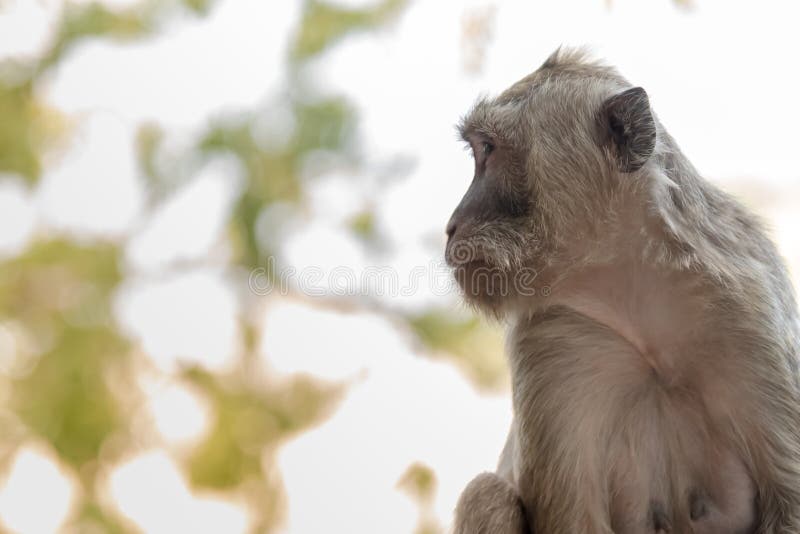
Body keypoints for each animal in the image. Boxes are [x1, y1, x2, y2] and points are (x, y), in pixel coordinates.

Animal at [445, 48, 800, 534]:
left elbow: (791, 500)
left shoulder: (752, 315)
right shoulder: (550, 341)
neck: (635, 297)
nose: (451, 225)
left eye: (488, 150)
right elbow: (573, 520)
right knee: (486, 495)